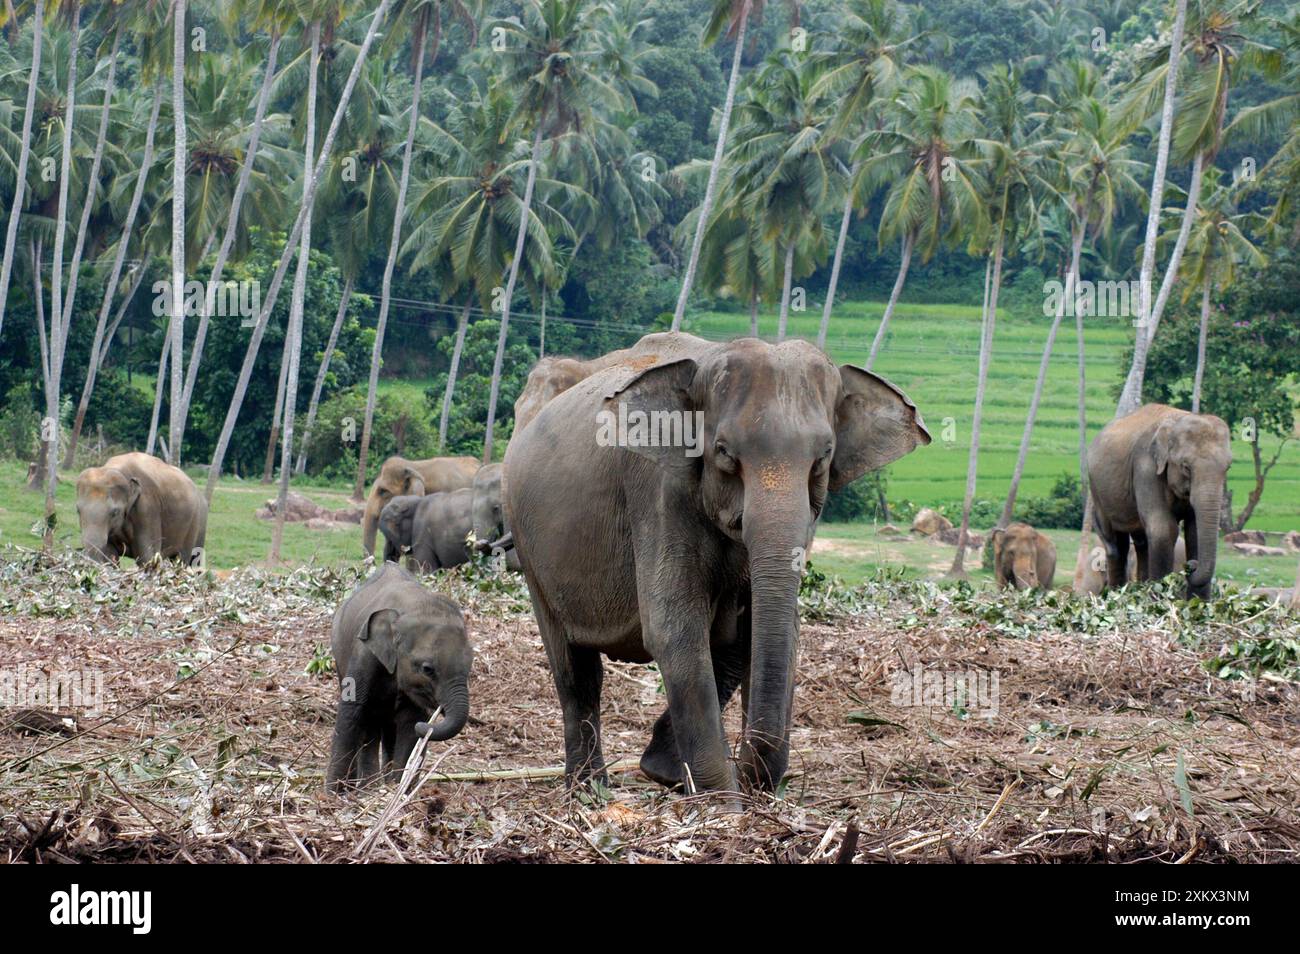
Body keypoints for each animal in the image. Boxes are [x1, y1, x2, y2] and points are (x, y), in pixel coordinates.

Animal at [75, 452, 207, 565]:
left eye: (115, 512)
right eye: (78, 510)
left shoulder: (147, 509)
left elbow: (148, 556)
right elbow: (109, 553)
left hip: (196, 522)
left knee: (184, 560)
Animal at [326, 563, 472, 791]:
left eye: (470, 664)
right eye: (427, 669)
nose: (427, 727)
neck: (411, 605)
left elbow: (409, 721)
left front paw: (398, 789)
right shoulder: (363, 654)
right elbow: (352, 712)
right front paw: (332, 793)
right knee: (369, 721)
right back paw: (365, 787)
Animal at [503, 332, 930, 793]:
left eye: (823, 457)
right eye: (724, 452)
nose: (752, 779)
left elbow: (756, 630)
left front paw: (672, 774)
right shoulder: (658, 492)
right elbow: (673, 628)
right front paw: (721, 800)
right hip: (529, 546)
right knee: (575, 669)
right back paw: (588, 788)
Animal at [1087, 404, 1231, 600]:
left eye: (1228, 467)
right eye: (1186, 466)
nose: (1191, 565)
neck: (1177, 420)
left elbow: (1194, 531)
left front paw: (1199, 604)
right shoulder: (1145, 468)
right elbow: (1164, 529)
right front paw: (1160, 600)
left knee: (1142, 543)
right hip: (1098, 491)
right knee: (1118, 544)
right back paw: (1118, 596)